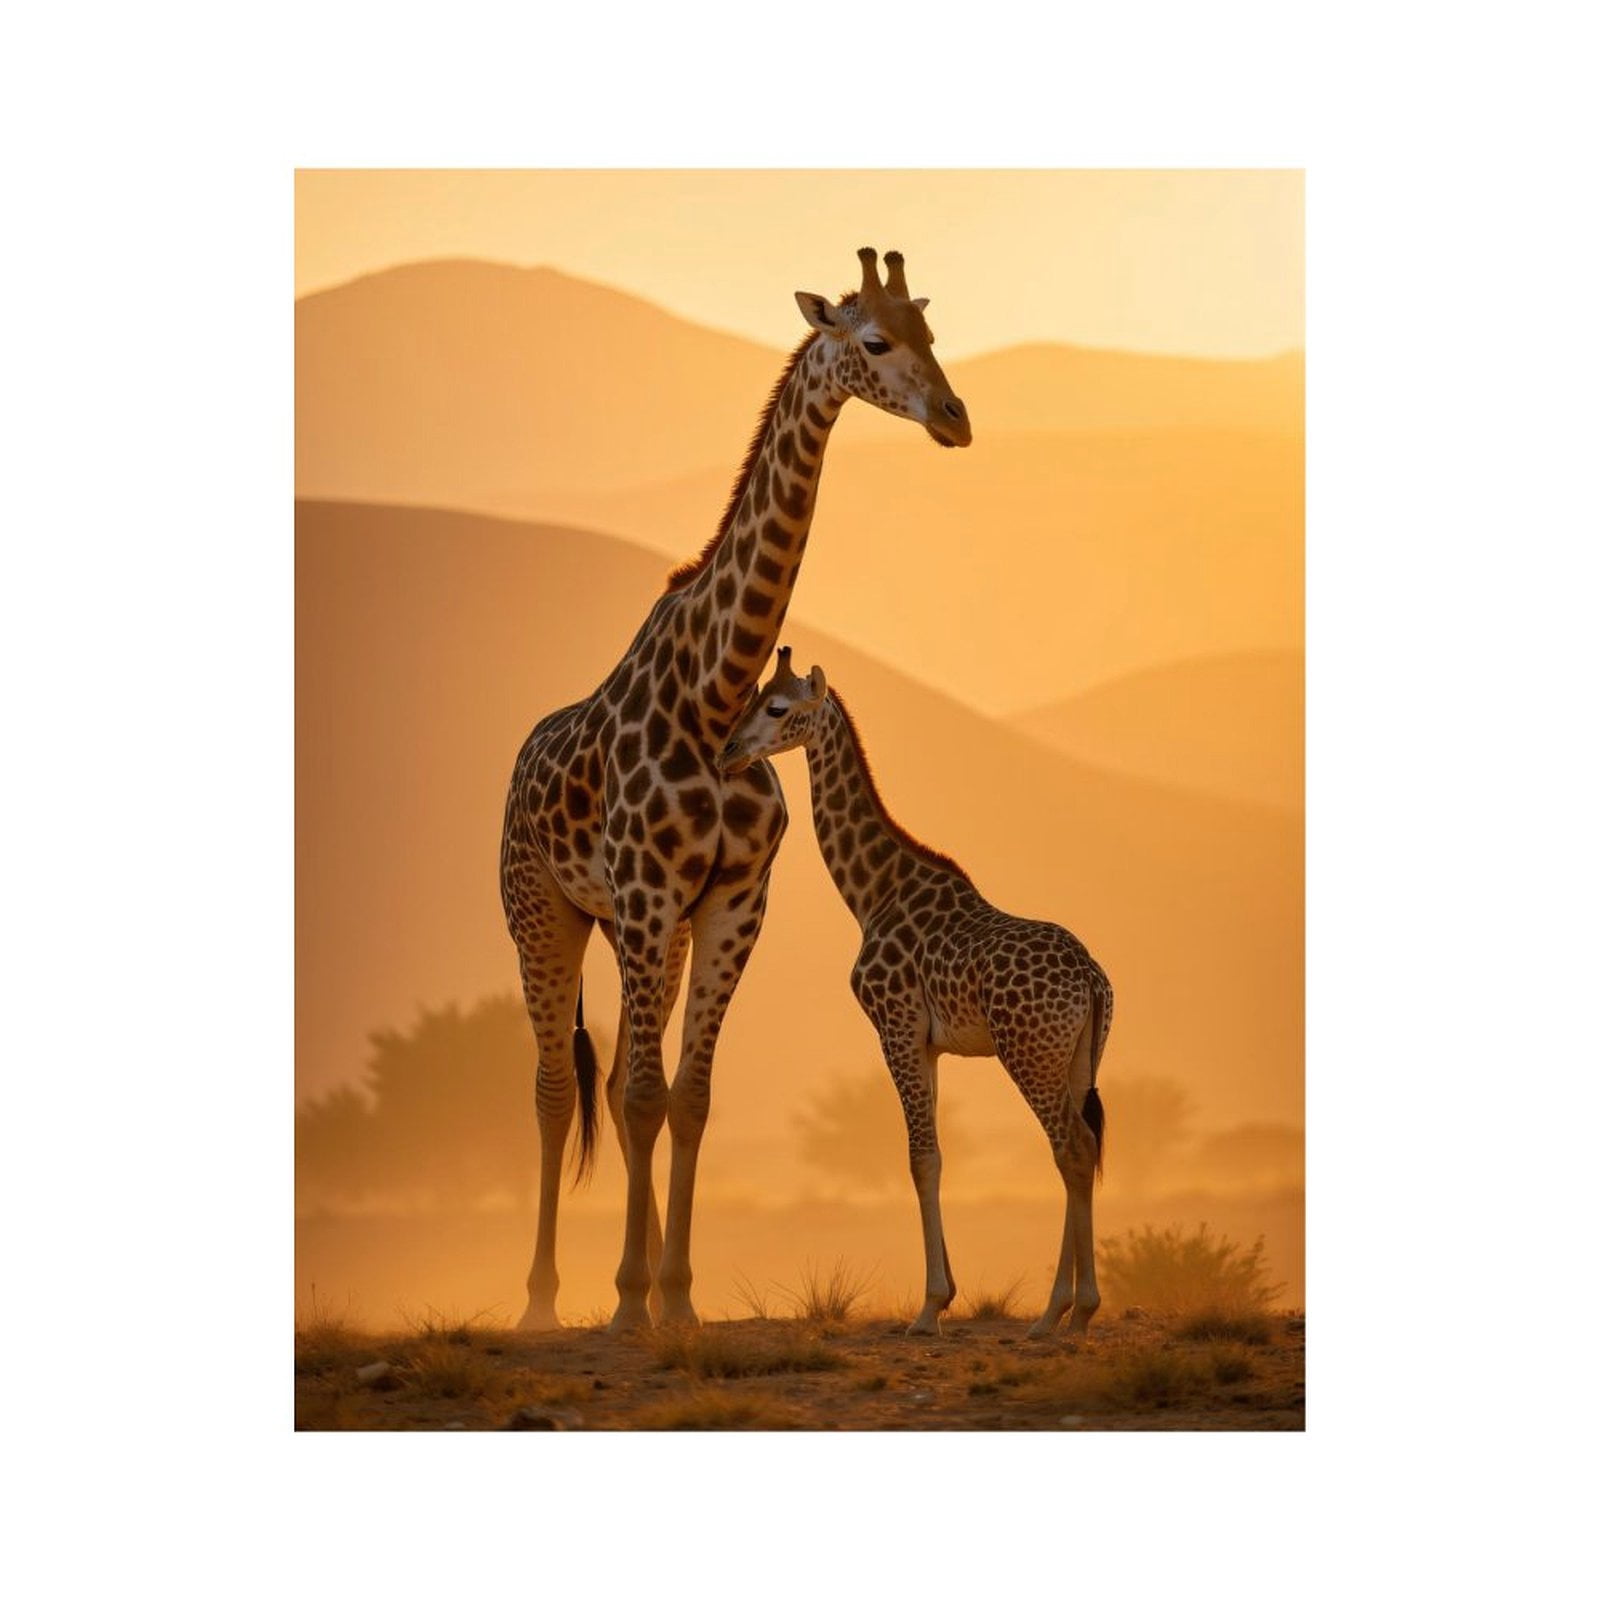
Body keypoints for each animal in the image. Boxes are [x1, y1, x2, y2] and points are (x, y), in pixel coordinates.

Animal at [501, 248, 972, 1332]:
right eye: (873, 338)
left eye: (932, 331)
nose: (954, 416)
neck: (716, 688)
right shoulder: (643, 893)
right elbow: (638, 1096)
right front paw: (629, 1309)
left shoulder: (730, 900)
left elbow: (687, 1097)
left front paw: (676, 1299)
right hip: (543, 911)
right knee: (554, 1087)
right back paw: (541, 1303)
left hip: (642, 933)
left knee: (616, 1081)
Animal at [720, 652, 1112, 1338]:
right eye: (750, 696)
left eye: (776, 706)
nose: (731, 751)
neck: (871, 893)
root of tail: (1092, 979)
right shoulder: (929, 1042)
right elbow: (936, 1155)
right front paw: (943, 1296)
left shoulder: (894, 1025)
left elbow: (919, 1157)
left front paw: (928, 1310)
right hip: (1077, 1057)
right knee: (1079, 1148)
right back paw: (1064, 1311)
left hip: (1029, 1054)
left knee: (1070, 1147)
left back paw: (1063, 1314)